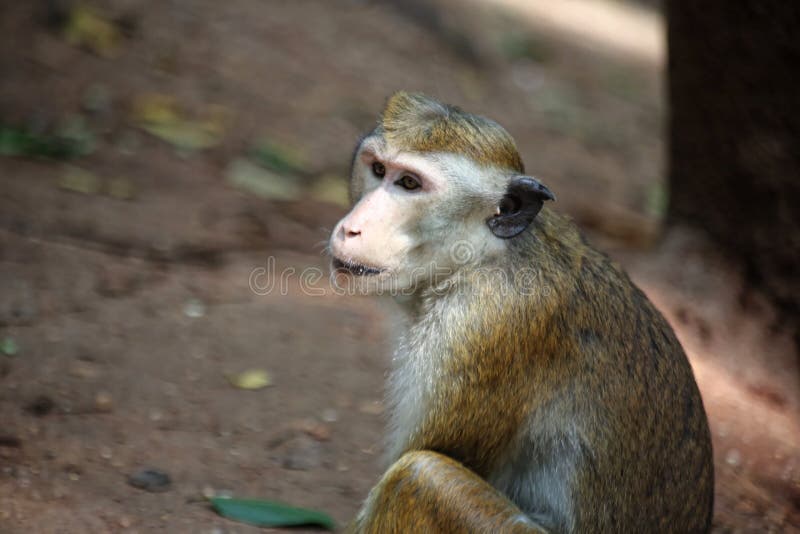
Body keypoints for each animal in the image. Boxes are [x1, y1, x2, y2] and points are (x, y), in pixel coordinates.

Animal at [328, 92, 714, 533]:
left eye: (409, 183)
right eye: (377, 169)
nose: (351, 228)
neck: (481, 259)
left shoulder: (478, 329)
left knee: (420, 476)